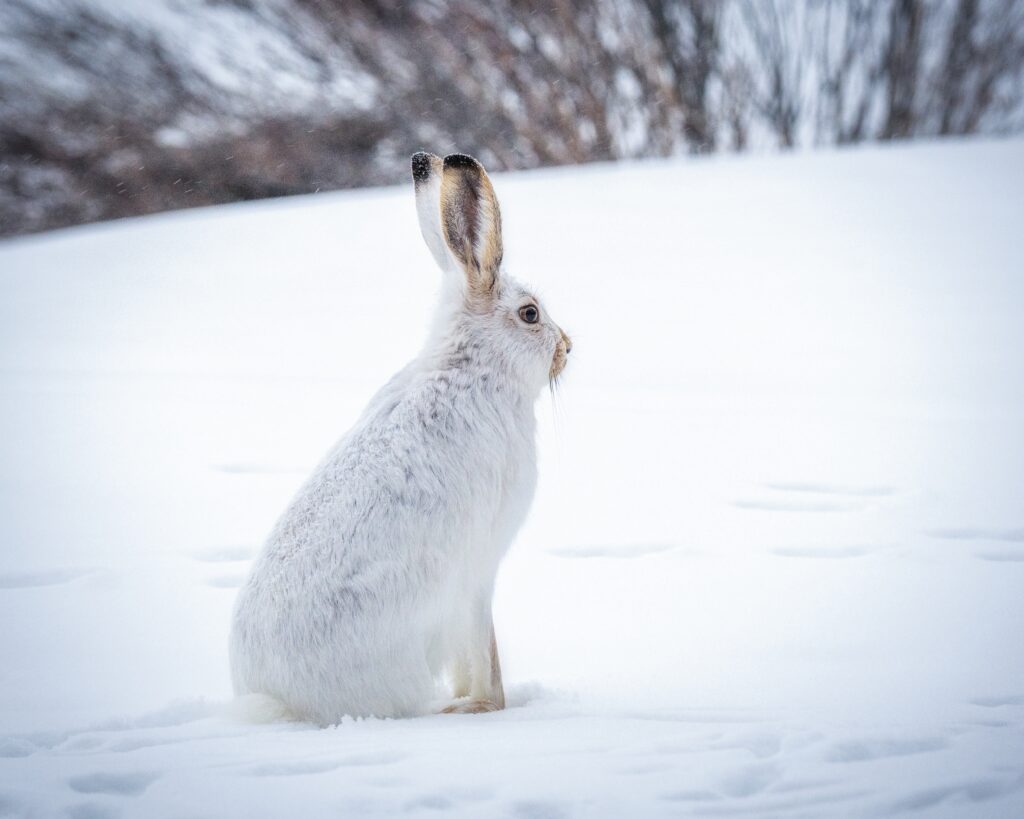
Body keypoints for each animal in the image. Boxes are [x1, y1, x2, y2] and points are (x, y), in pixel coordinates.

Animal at [229, 152, 571, 724]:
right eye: (531, 315)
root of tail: (280, 701)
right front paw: (489, 705)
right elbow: (484, 647)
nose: (568, 346)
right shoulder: (477, 571)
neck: (473, 368)